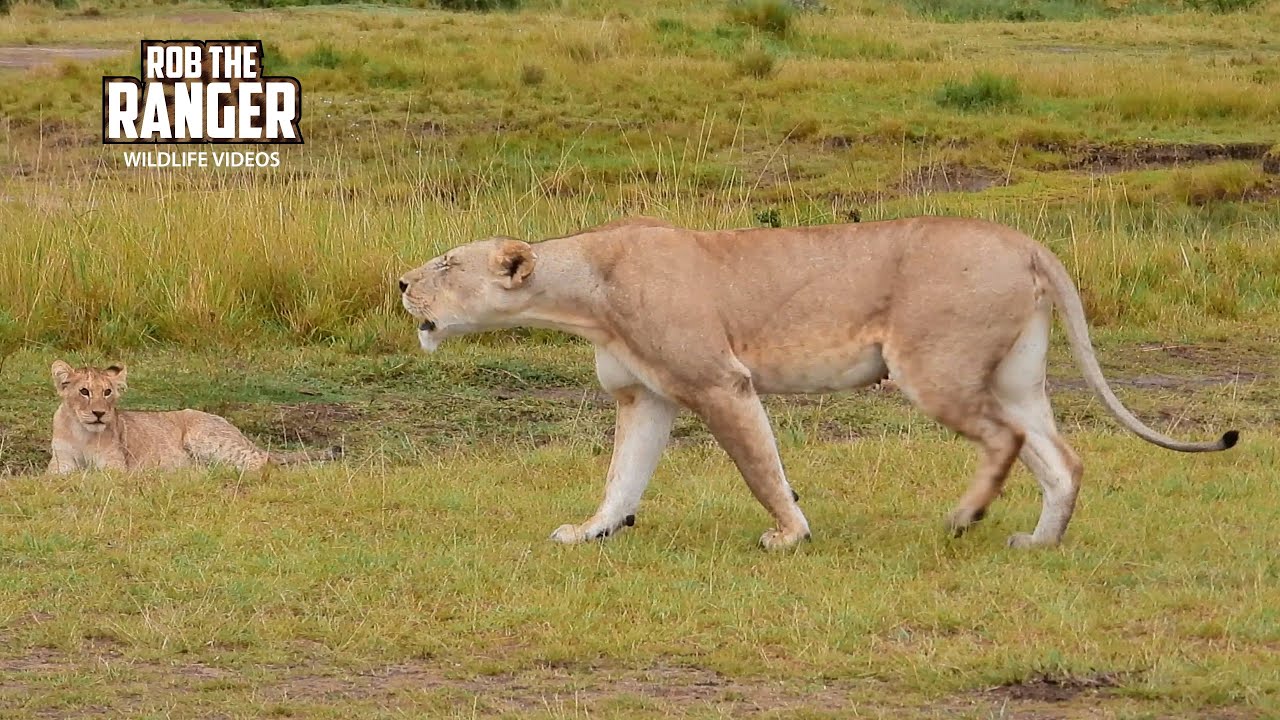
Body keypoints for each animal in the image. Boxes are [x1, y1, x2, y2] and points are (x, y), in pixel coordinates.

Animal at [48, 361, 341, 474]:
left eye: (107, 392)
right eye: (84, 391)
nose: (99, 413)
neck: (82, 433)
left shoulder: (116, 466)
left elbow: (92, 476)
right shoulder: (60, 462)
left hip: (205, 437)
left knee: (261, 462)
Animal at [397, 216, 1238, 550]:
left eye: (446, 264)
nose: (401, 282)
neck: (584, 293)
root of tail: (1023, 239)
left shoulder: (719, 381)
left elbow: (760, 466)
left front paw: (790, 533)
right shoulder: (649, 396)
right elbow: (623, 478)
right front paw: (592, 532)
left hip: (932, 367)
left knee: (1003, 441)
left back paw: (966, 515)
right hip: (1014, 377)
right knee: (1061, 458)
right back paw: (1037, 542)